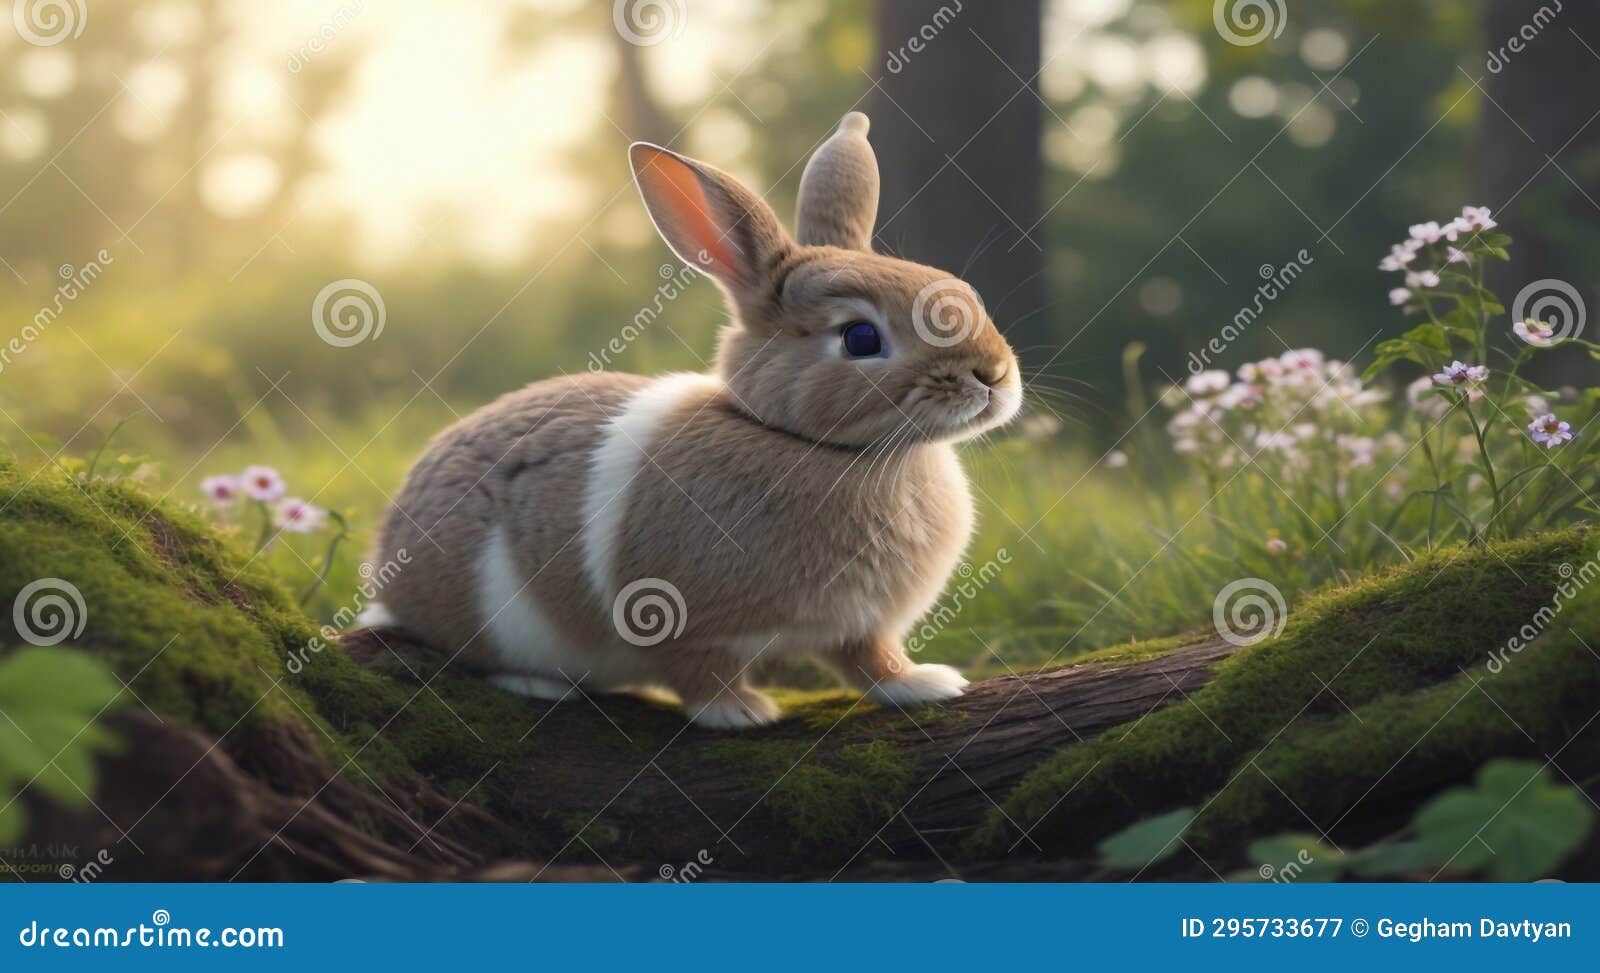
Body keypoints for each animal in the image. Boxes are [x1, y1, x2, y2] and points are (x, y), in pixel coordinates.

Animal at [361, 112, 1022, 729]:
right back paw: (539, 685)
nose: (992, 375)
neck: (821, 447)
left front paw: (926, 684)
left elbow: (870, 662)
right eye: (861, 337)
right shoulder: (686, 623)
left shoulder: (862, 626)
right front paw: (740, 712)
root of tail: (389, 574)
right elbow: (701, 670)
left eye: (960, 287)